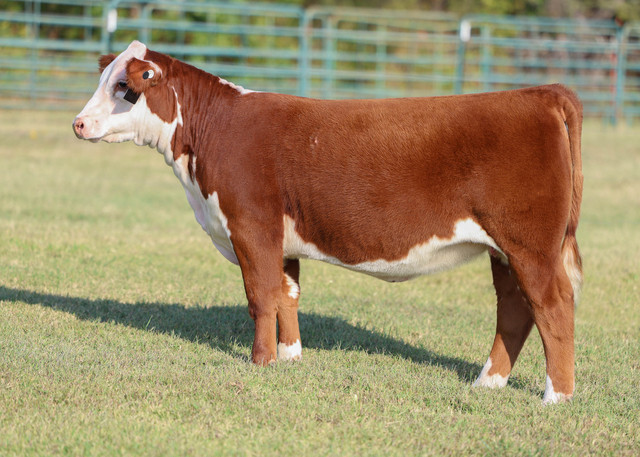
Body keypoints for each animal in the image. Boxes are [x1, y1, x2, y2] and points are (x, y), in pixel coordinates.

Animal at [73, 40, 583, 404]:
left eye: (123, 88)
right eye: (104, 80)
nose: (78, 123)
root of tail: (540, 93)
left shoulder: (251, 225)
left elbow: (260, 296)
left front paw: (261, 363)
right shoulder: (280, 238)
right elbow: (287, 294)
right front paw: (290, 358)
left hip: (530, 245)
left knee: (552, 306)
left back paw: (555, 397)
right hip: (506, 251)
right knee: (515, 309)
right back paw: (487, 384)